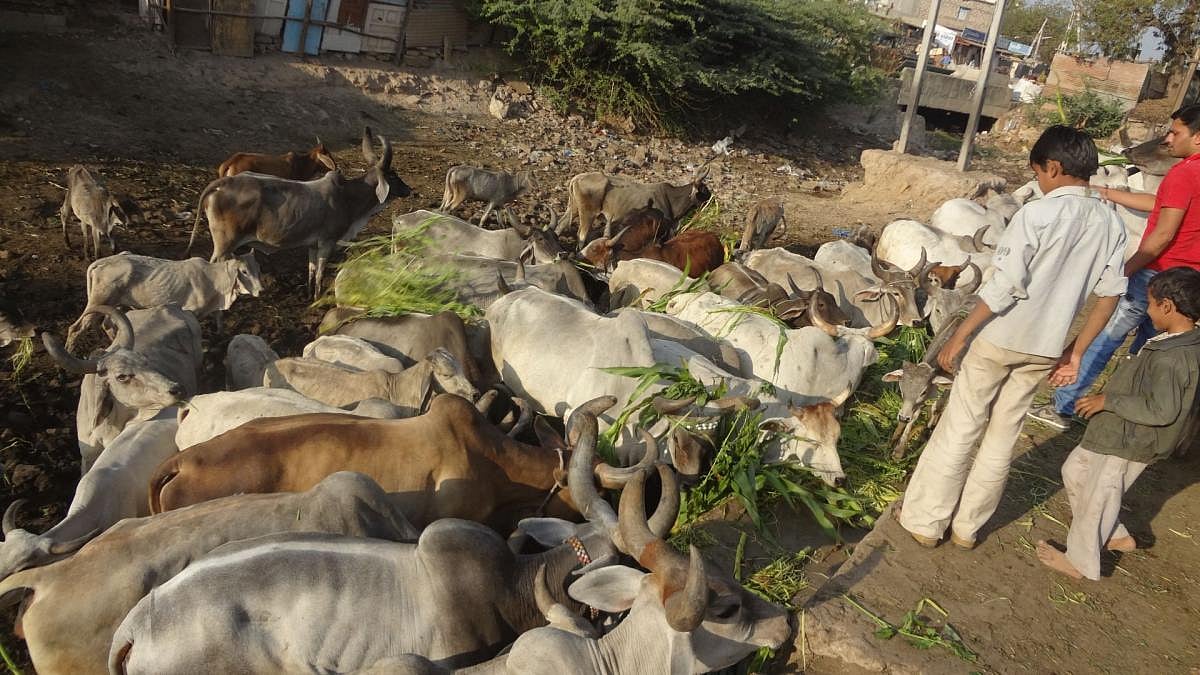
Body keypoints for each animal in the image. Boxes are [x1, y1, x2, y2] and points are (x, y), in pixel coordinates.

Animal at [64, 252, 261, 350]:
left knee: (107, 324)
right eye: (244, 271)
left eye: (258, 268)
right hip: (98, 301)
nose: (260, 290)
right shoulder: (190, 311)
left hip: (114, 303)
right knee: (76, 328)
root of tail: (101, 262)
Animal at [189, 127, 412, 298]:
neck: (347, 197)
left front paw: (309, 293)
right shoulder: (327, 243)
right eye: (393, 175)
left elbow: (311, 271)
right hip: (224, 244)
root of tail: (222, 183)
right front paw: (316, 298)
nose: (409, 190)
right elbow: (320, 273)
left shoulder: (312, 245)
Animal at [559, 167, 711, 243]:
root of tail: (577, 177)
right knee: (582, 235)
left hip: (573, 209)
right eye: (704, 189)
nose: (711, 200)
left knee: (560, 225)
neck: (671, 199)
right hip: (588, 213)